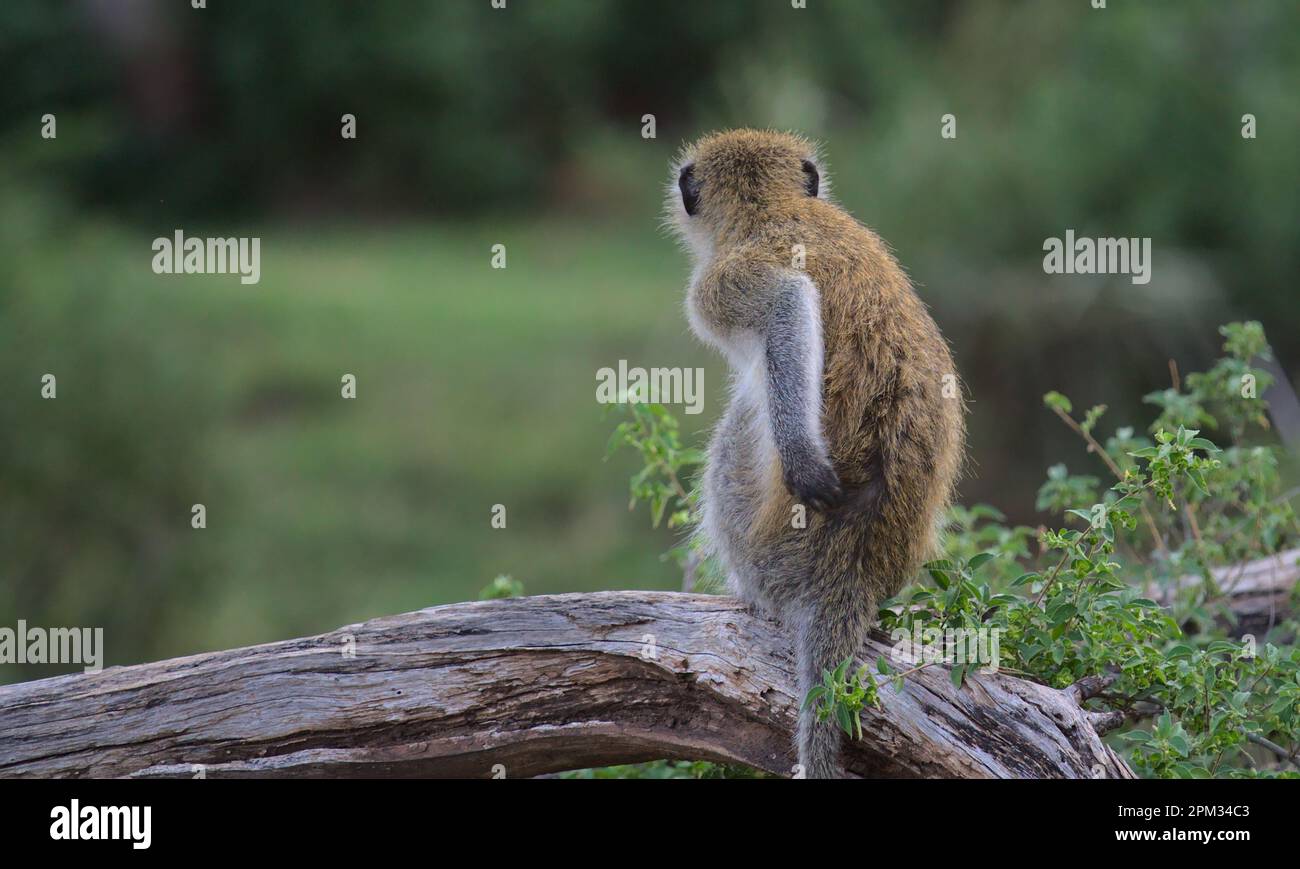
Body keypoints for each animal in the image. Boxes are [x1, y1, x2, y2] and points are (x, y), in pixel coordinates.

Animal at [666, 129, 965, 778]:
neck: (771, 209)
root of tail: (852, 572)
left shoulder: (719, 285)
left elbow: (787, 301)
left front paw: (803, 464)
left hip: (766, 551)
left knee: (740, 425)